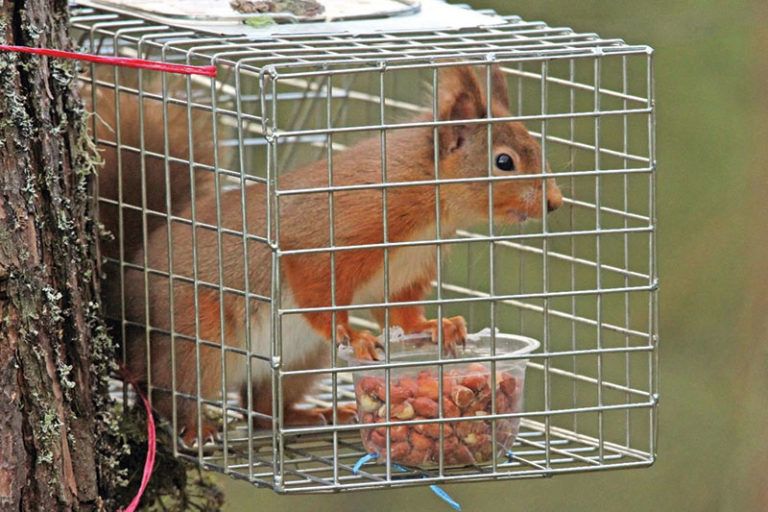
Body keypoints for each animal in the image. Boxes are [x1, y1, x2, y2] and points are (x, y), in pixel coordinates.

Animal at [93, 64, 563, 445]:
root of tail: (124, 282)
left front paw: (436, 326)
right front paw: (351, 333)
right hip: (196, 339)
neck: (428, 199)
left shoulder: (404, 270)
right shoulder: (328, 239)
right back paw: (197, 428)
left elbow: (400, 309)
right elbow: (316, 289)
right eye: (504, 162)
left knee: (262, 410)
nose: (554, 203)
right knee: (167, 391)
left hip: (301, 360)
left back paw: (310, 414)